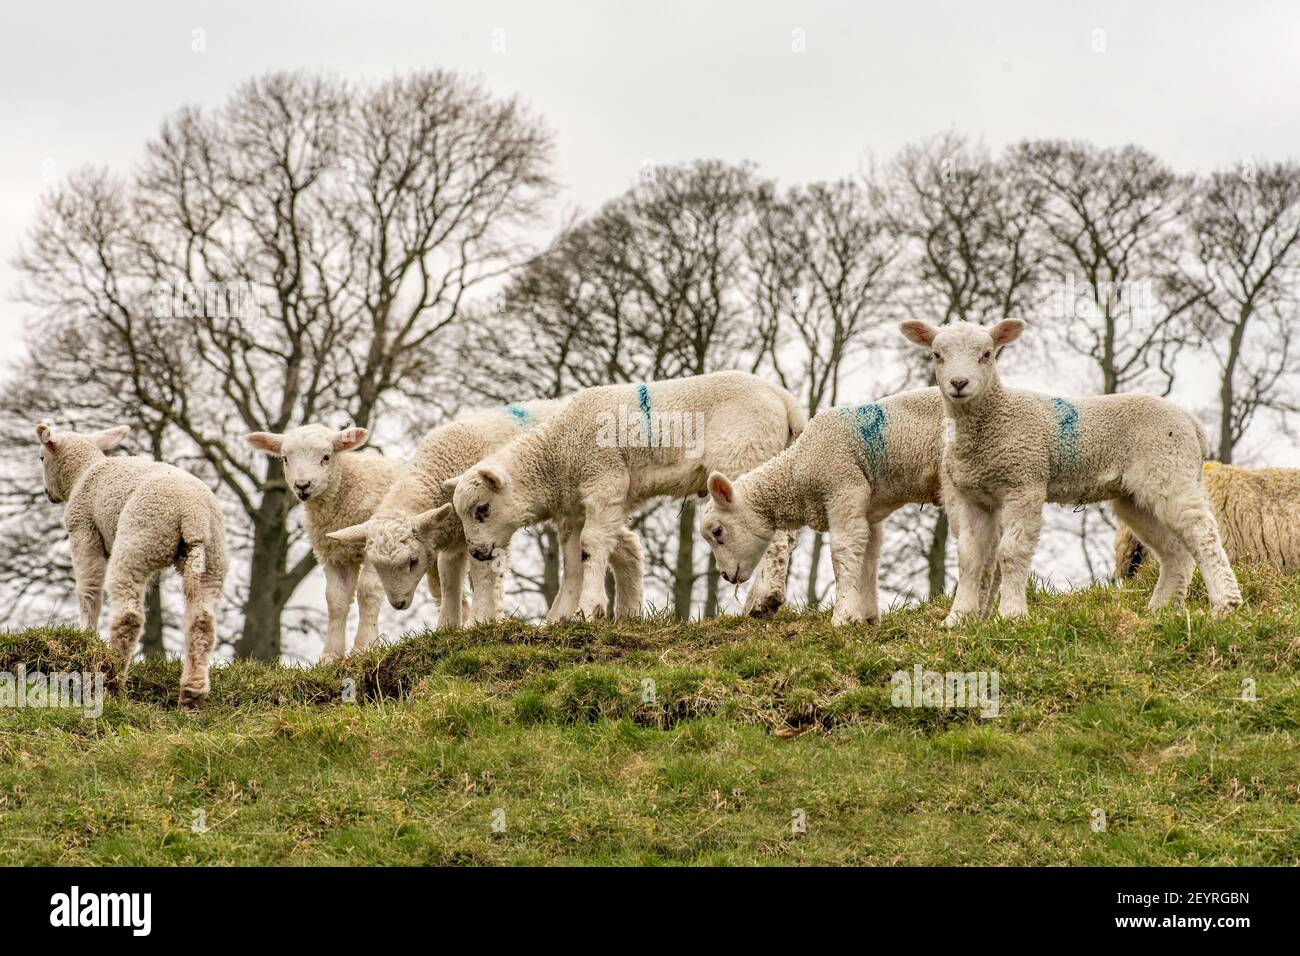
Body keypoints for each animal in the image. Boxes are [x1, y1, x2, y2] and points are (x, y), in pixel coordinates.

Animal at [35, 422, 226, 708]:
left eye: (41, 458)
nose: (47, 494)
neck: (84, 472)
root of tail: (193, 513)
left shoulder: (84, 530)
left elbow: (88, 590)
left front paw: (86, 637)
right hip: (213, 559)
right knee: (202, 621)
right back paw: (191, 694)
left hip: (139, 540)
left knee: (129, 615)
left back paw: (112, 679)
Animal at [246, 425, 401, 662]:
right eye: (285, 459)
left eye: (326, 457)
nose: (302, 486)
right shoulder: (335, 555)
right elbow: (335, 601)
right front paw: (331, 656)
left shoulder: (377, 545)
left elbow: (367, 592)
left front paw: (362, 648)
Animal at [326, 401, 568, 629]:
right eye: (376, 566)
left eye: (413, 561)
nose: (398, 604)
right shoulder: (454, 539)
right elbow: (449, 580)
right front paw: (447, 627)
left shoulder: (483, 533)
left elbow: (482, 574)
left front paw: (477, 621)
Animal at [447, 371, 806, 621]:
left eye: (482, 508)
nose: (477, 552)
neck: (556, 455)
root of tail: (785, 401)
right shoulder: (575, 510)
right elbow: (573, 560)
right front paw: (561, 617)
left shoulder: (604, 483)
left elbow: (591, 547)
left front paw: (589, 609)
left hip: (745, 454)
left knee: (771, 533)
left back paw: (763, 602)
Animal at [899, 318, 1242, 623]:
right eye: (936, 354)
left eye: (986, 354)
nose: (959, 384)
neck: (993, 419)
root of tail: (1192, 424)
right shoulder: (972, 497)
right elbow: (969, 558)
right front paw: (957, 619)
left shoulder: (1025, 482)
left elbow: (1010, 552)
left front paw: (1012, 615)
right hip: (1137, 496)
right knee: (1174, 551)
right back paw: (1161, 609)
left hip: (1170, 470)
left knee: (1202, 533)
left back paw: (1225, 604)